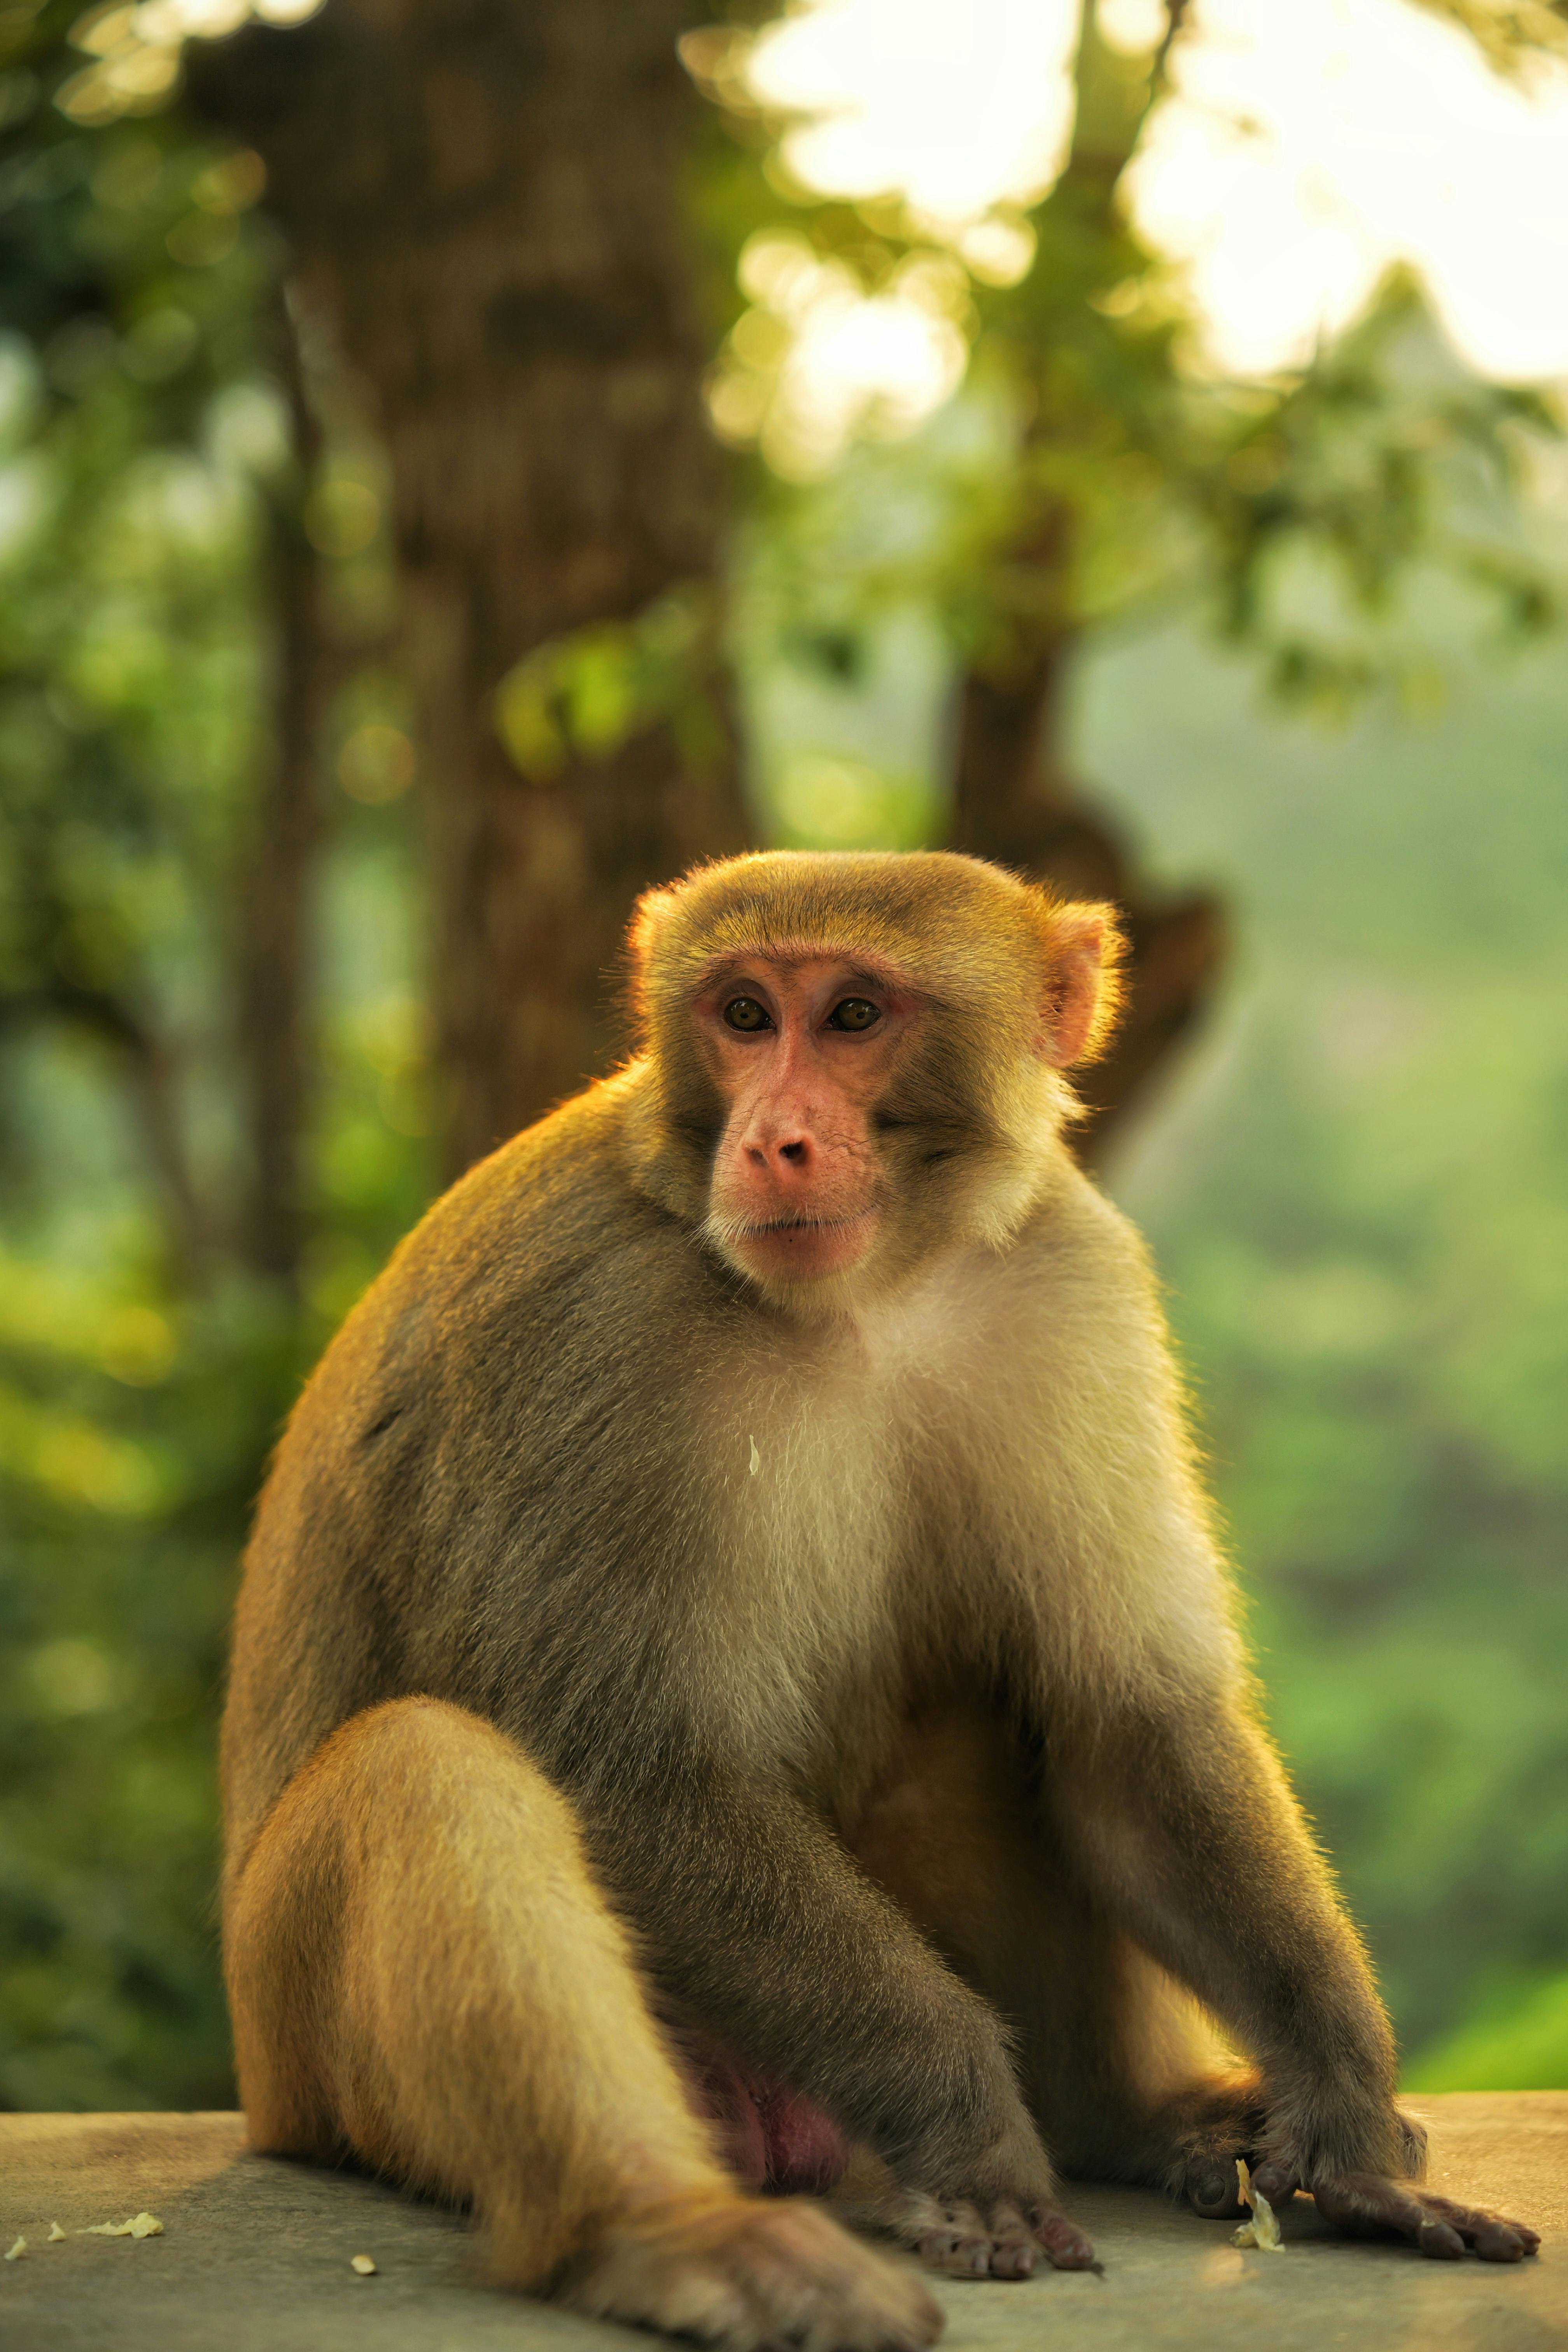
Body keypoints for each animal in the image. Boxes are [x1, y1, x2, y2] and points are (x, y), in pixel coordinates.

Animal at [222, 849, 1538, 2348]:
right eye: (744, 1013)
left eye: (853, 1014)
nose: (775, 1140)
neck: (870, 1294)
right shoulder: (589, 1330)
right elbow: (635, 1771)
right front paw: (968, 2127)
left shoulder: (1069, 1276)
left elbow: (1128, 1727)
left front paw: (1350, 2118)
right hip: (310, 2051)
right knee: (421, 1767)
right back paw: (665, 2231)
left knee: (998, 1708)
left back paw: (1130, 2120)